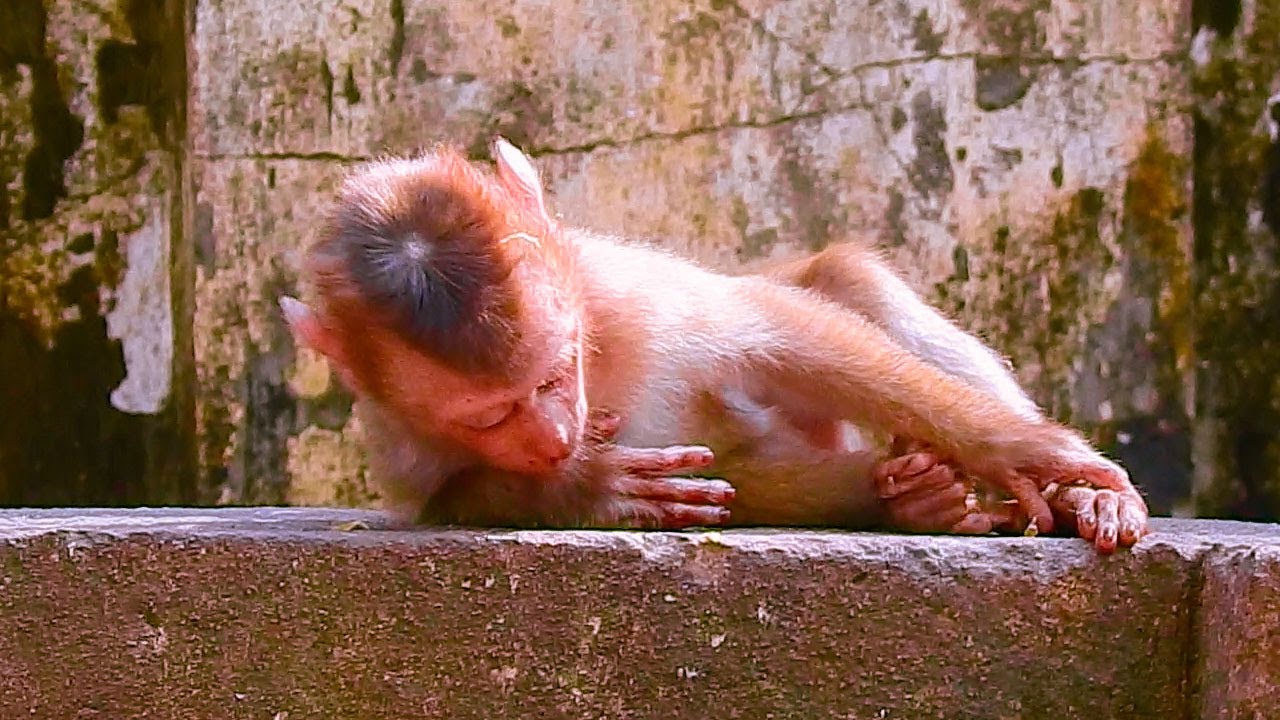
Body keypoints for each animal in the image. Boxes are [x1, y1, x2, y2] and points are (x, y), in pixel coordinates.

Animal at [280, 138, 1149, 553]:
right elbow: (448, 500)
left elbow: (782, 334)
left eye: (555, 374)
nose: (557, 439)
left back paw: (1076, 498)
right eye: (489, 417)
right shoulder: (395, 439)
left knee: (844, 279)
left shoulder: (624, 293)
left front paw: (1033, 459)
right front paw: (591, 486)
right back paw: (914, 499)